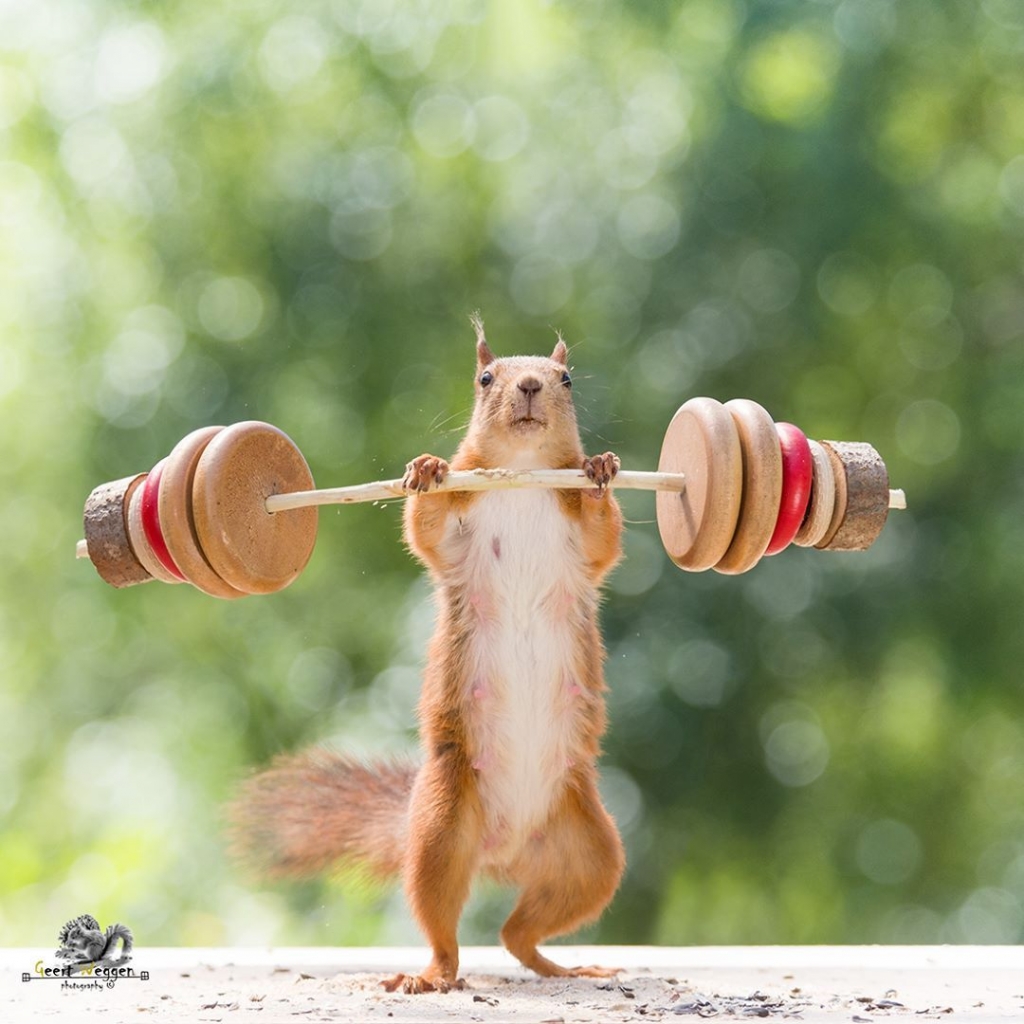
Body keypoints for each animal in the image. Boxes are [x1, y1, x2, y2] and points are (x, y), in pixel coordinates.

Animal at [230, 319, 625, 994]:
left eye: (566, 379)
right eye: (485, 378)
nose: (528, 385)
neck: (522, 474)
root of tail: (505, 852)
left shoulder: (585, 546)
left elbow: (606, 532)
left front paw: (600, 467)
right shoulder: (454, 537)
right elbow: (426, 527)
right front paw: (428, 467)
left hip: (591, 853)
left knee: (521, 932)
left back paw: (567, 965)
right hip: (443, 825)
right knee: (447, 922)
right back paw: (432, 974)